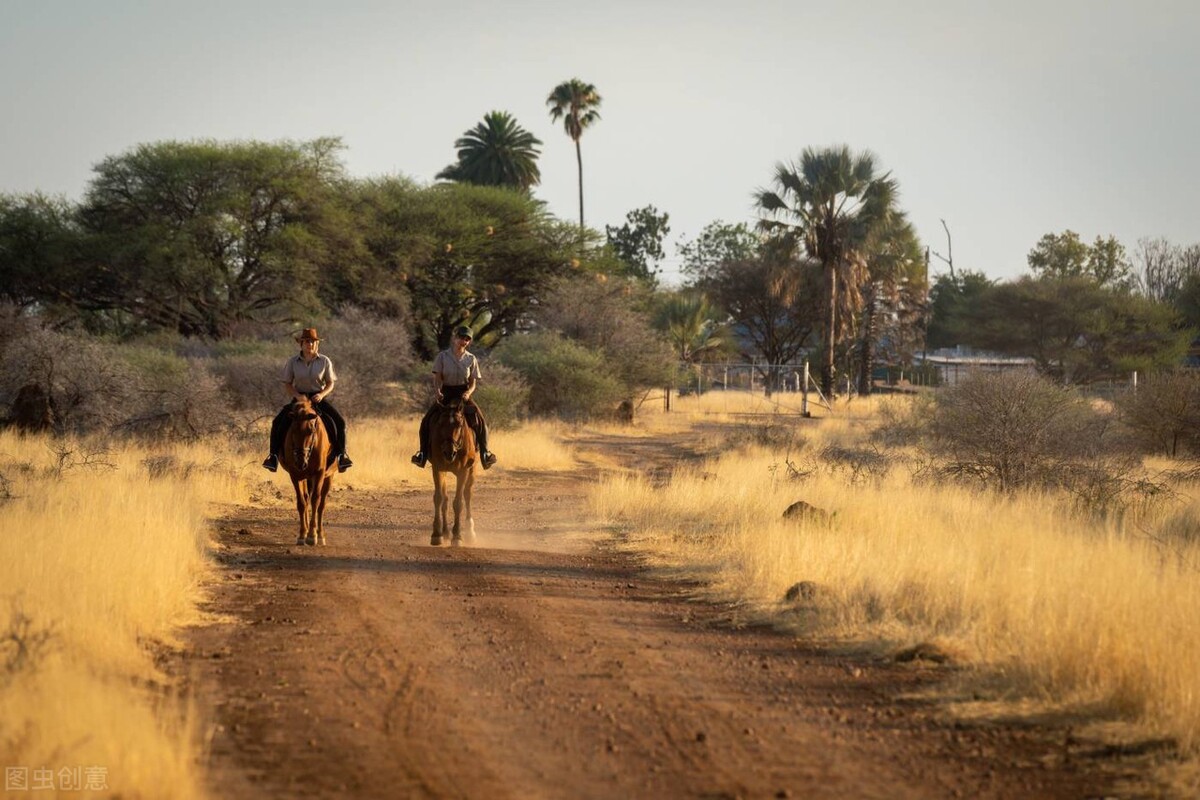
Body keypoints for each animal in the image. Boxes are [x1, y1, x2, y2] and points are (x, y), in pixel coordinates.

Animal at [279, 398, 333, 546]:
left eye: (311, 431)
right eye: (292, 430)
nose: (301, 462)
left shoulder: (319, 474)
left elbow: (316, 501)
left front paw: (312, 535)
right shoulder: (295, 475)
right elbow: (302, 503)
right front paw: (302, 534)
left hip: (328, 477)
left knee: (321, 504)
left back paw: (320, 535)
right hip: (305, 477)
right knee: (306, 498)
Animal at [427, 398, 472, 546]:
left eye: (459, 424)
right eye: (440, 423)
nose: (449, 452)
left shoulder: (463, 471)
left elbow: (458, 502)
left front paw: (457, 536)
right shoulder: (438, 469)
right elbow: (439, 498)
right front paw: (437, 534)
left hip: (472, 471)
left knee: (468, 495)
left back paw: (470, 531)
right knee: (445, 500)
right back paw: (445, 532)